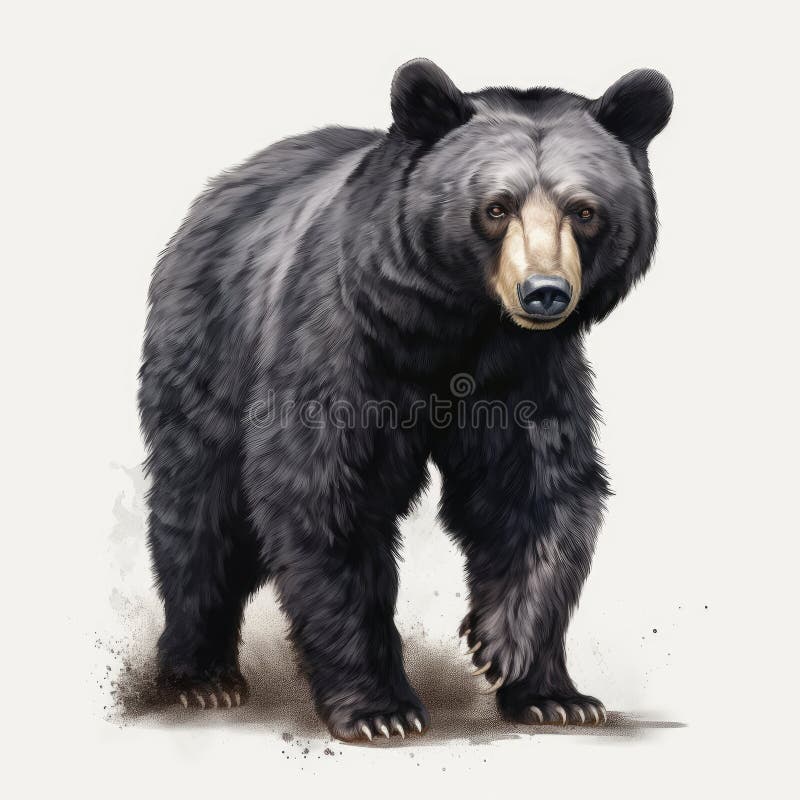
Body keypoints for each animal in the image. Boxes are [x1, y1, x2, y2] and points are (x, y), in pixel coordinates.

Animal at [139, 58, 672, 742]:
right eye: (495, 207)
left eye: (583, 209)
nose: (545, 292)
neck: (456, 329)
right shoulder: (345, 345)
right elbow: (325, 489)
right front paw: (379, 710)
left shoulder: (525, 374)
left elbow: (536, 490)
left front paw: (533, 675)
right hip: (210, 344)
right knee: (203, 505)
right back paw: (201, 677)